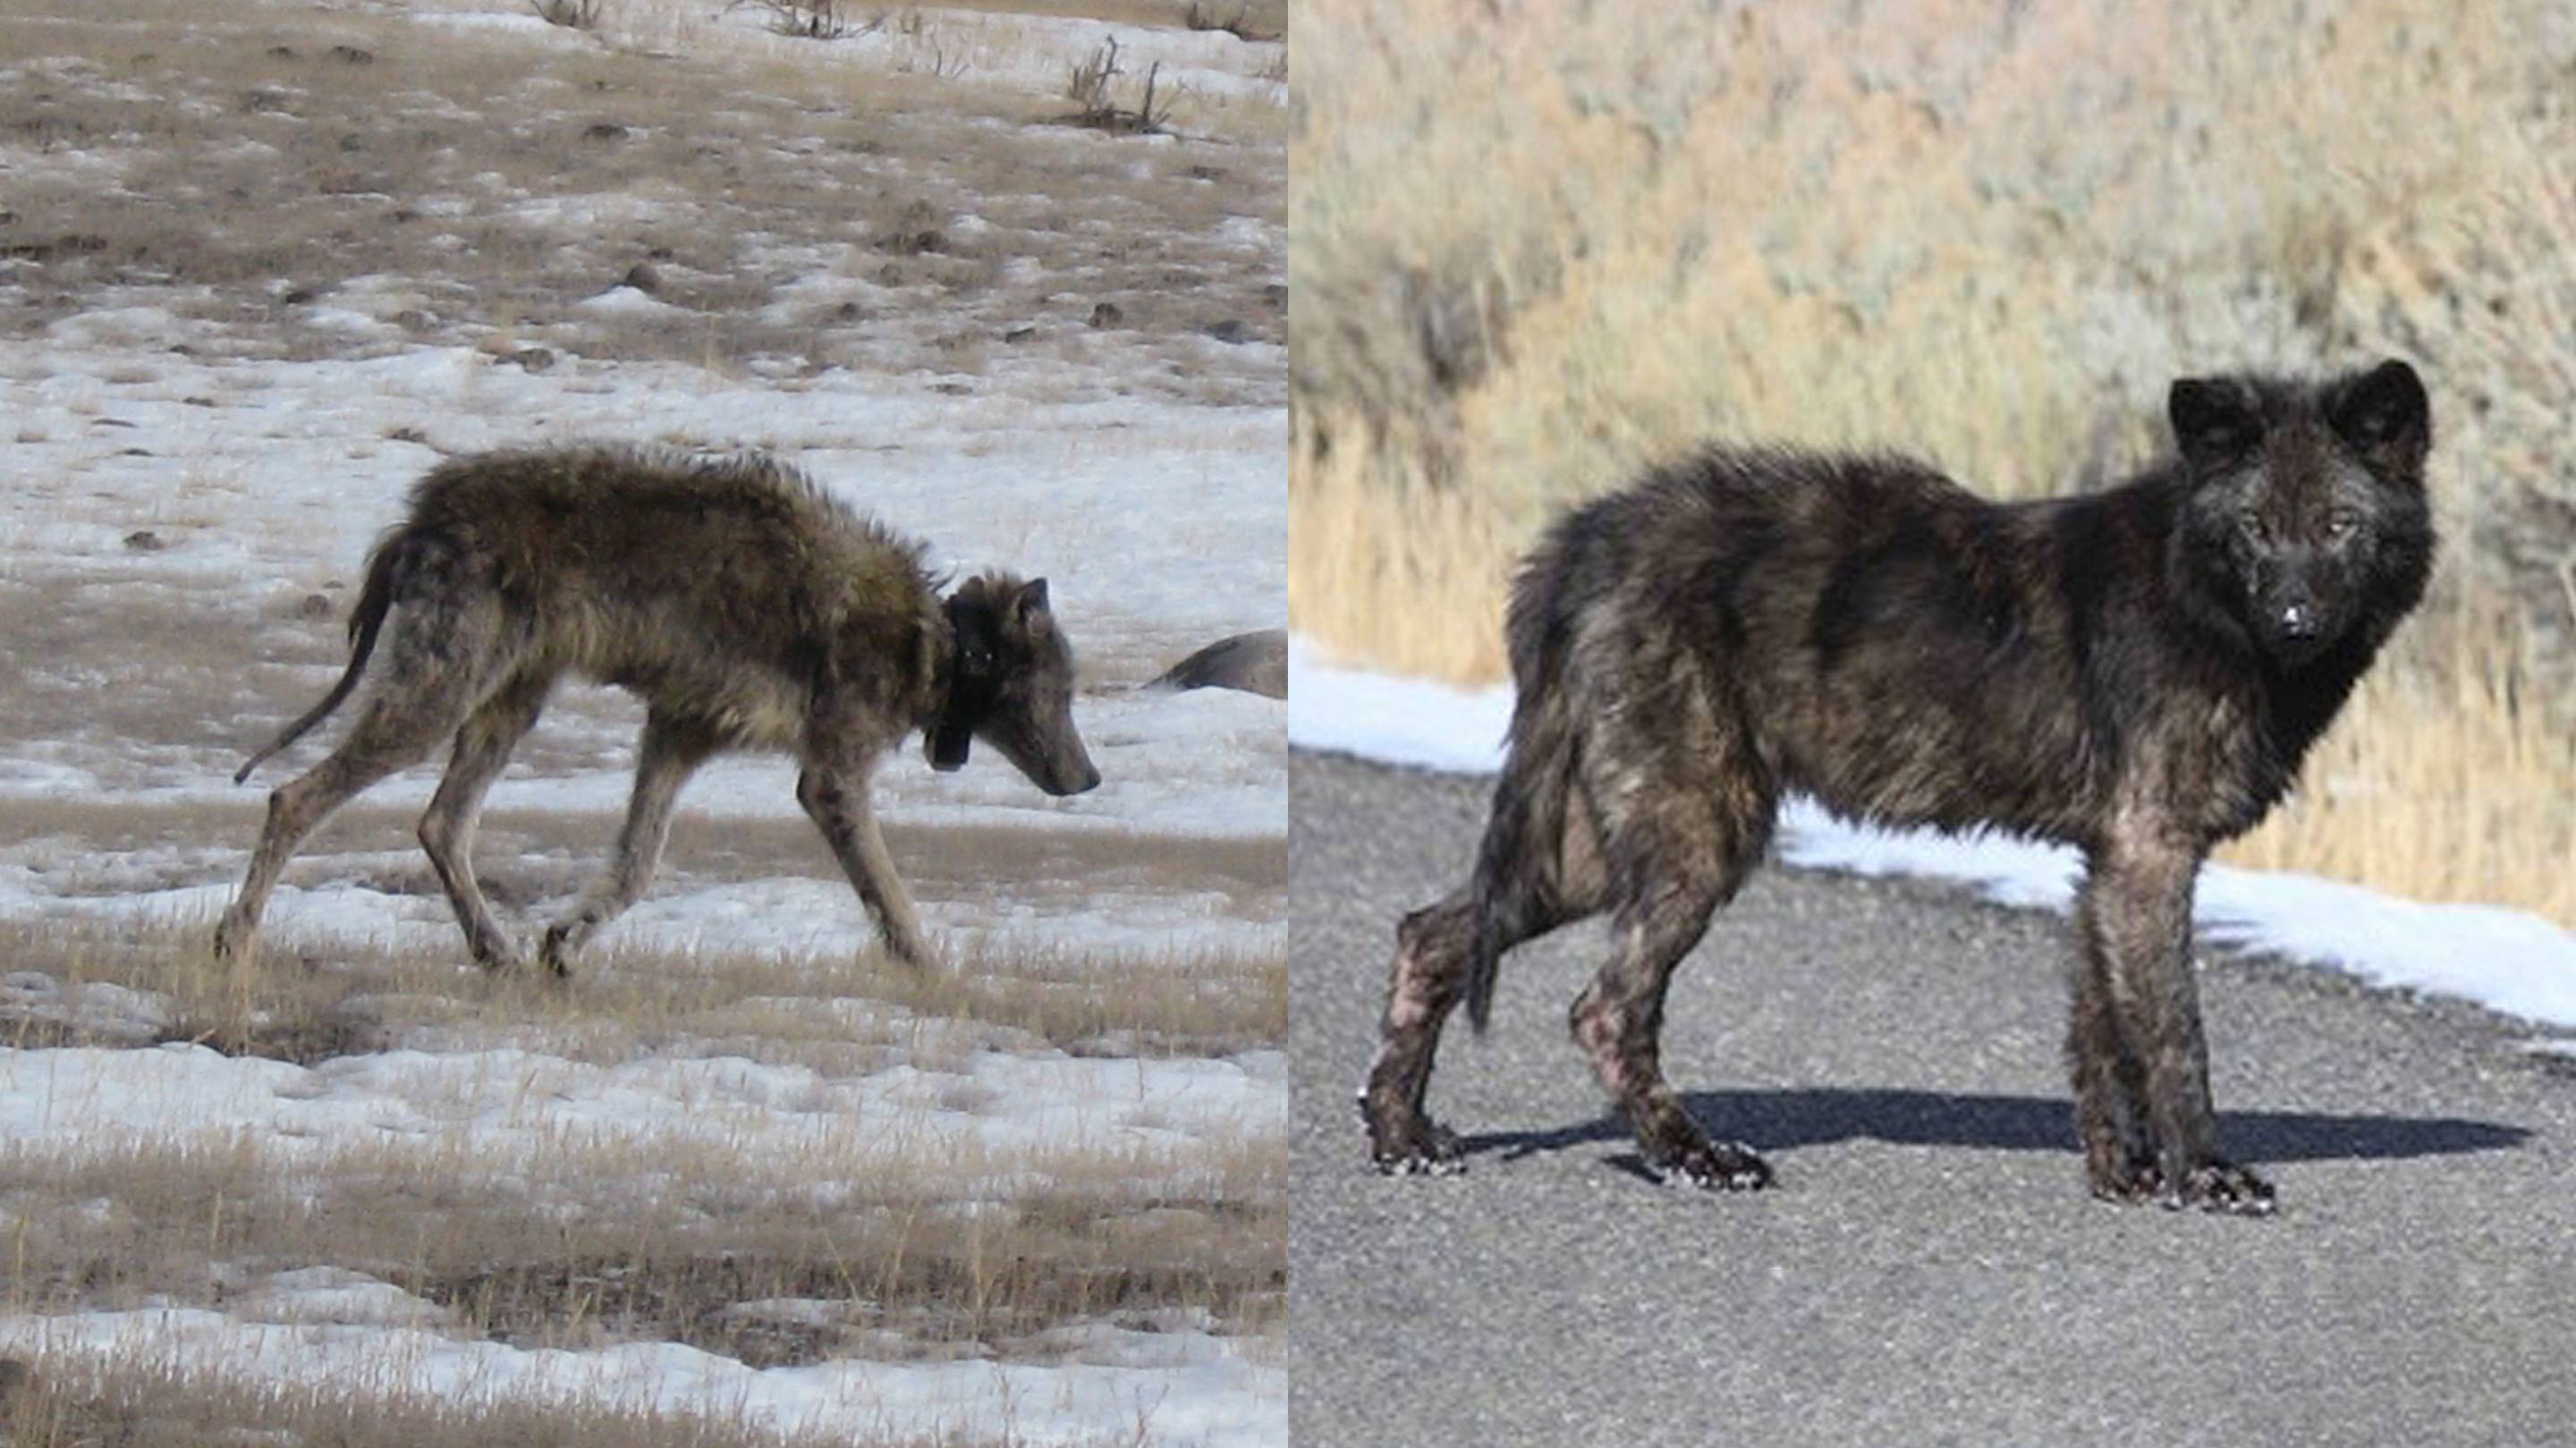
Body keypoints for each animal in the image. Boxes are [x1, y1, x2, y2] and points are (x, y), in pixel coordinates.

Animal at [214, 445, 1099, 974]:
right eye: (1059, 689)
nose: (1089, 778)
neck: (936, 644)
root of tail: (418, 521)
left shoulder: (678, 731)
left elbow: (638, 864)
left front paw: (564, 940)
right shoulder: (830, 776)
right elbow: (889, 893)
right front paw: (933, 970)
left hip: (511, 702)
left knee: (440, 824)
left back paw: (496, 951)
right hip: (439, 696)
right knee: (295, 797)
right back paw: (235, 936)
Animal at [1360, 359, 2432, 1214]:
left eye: (2338, 524)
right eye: (2256, 527)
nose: (2295, 621)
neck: (2196, 592)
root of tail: (1582, 540)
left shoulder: (2111, 861)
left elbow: (2102, 1036)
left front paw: (2123, 1176)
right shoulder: (2151, 852)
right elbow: (2173, 1036)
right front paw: (2206, 1174)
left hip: (1597, 845)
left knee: (1432, 933)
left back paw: (1401, 1137)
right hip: (1696, 841)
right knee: (1604, 1008)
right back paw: (1695, 1157)